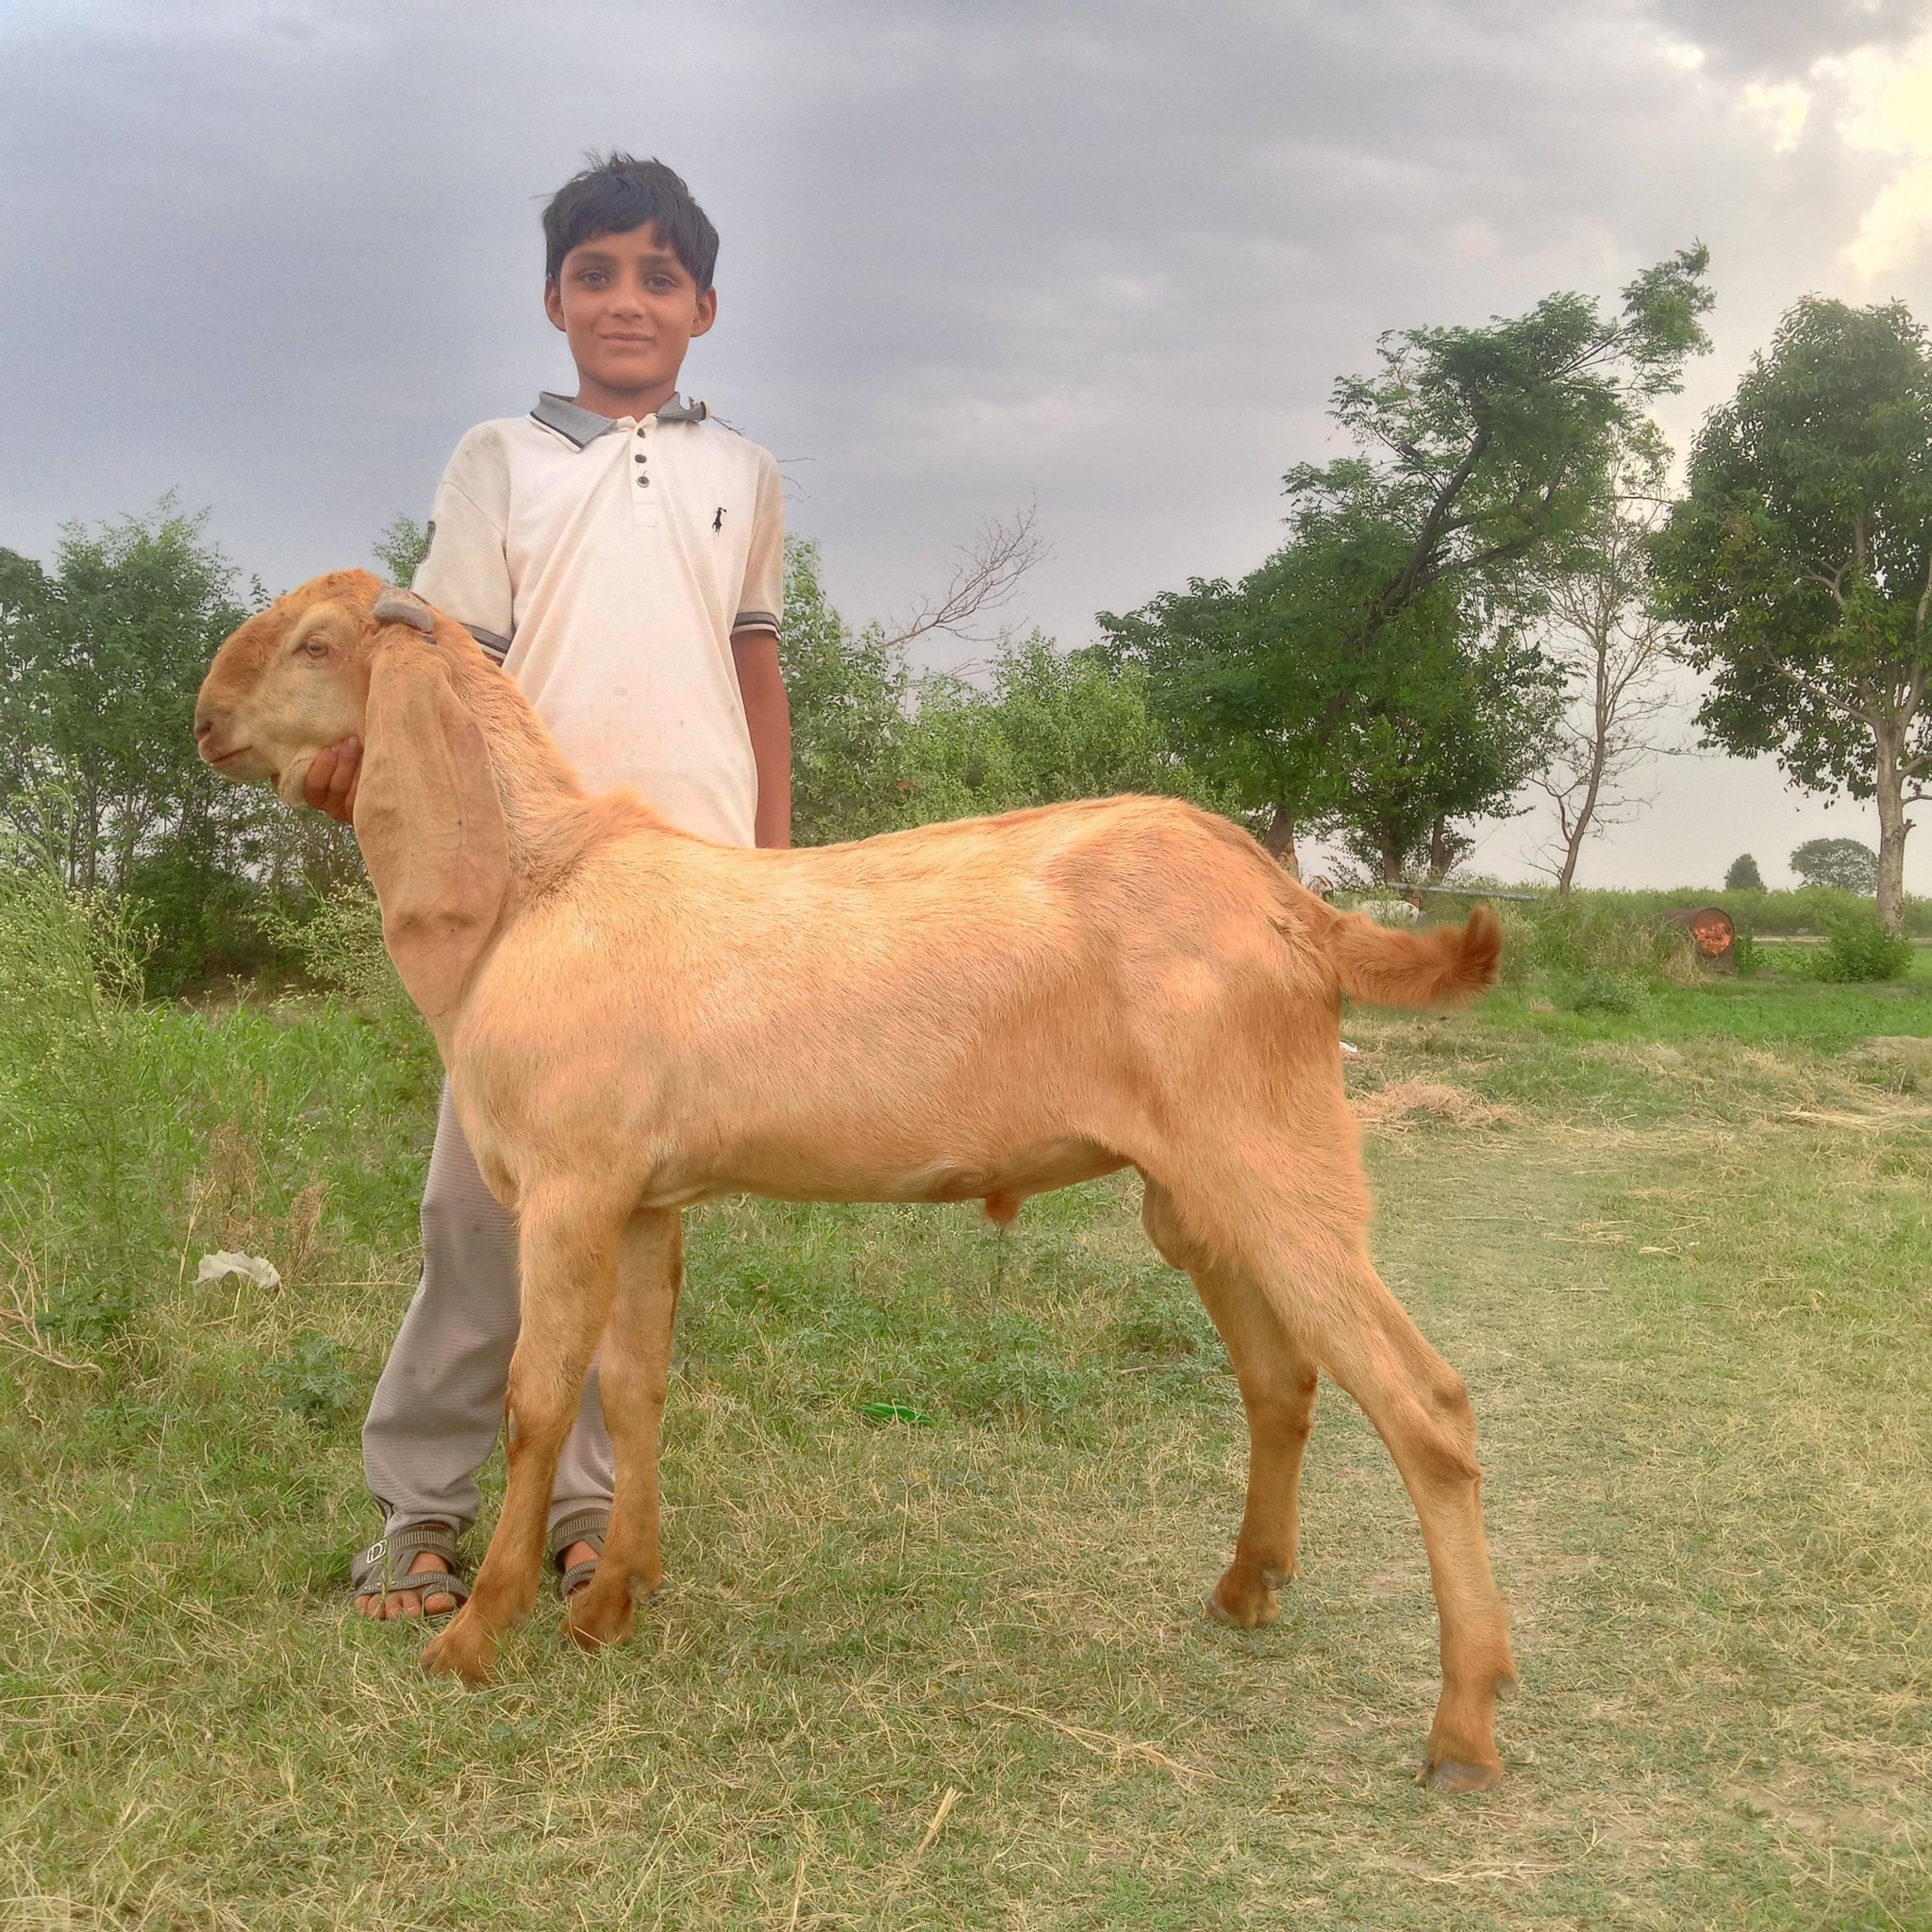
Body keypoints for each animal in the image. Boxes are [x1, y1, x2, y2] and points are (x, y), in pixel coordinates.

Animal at [193, 569, 1517, 1792]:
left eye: (315, 644)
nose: (205, 719)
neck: (535, 887)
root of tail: (1295, 907)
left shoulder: (569, 1184)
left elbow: (535, 1397)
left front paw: (474, 1637)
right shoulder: (642, 1198)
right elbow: (632, 1387)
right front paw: (610, 1603)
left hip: (1270, 1151)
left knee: (1425, 1404)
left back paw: (1462, 1722)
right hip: (1196, 1190)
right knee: (1280, 1377)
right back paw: (1247, 1586)